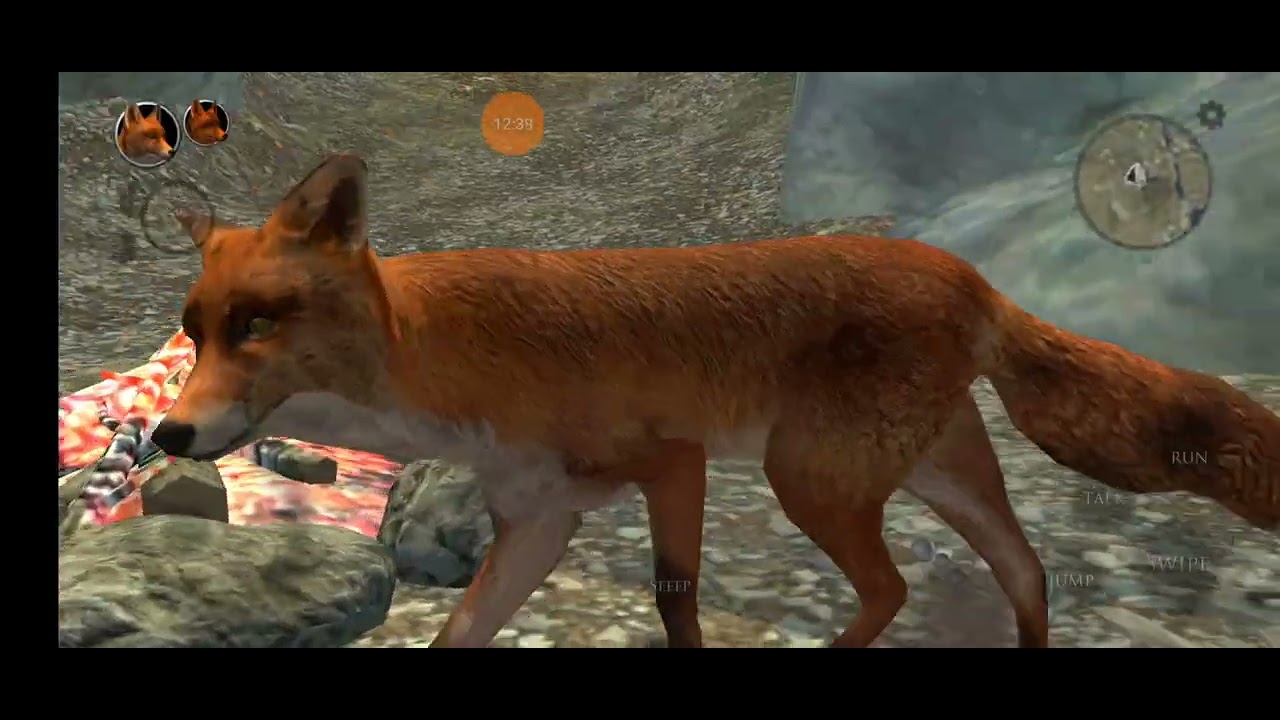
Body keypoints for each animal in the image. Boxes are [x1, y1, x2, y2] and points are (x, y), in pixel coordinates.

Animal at [153, 154, 1279, 649]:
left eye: (255, 326)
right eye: (194, 330)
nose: (167, 431)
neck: (445, 360)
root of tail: (968, 276)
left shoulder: (671, 463)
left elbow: (675, 603)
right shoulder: (537, 524)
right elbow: (460, 634)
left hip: (808, 477)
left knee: (894, 592)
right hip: (929, 476)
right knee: (1026, 571)